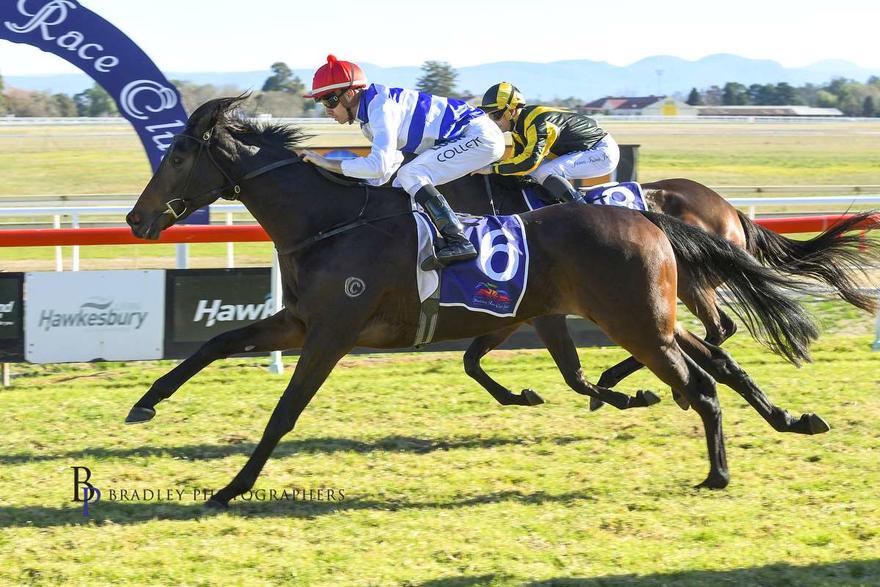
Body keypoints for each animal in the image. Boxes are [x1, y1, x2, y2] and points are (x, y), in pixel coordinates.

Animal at [124, 96, 833, 508]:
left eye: (179, 152)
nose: (136, 218)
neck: (332, 221)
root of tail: (653, 220)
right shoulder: (301, 321)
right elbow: (216, 342)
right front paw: (145, 404)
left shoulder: (333, 331)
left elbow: (284, 413)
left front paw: (232, 486)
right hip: (645, 317)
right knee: (717, 362)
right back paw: (785, 419)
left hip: (642, 322)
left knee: (707, 375)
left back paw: (716, 471)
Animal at [437, 173, 879, 409]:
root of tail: (730, 209)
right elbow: (473, 360)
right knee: (709, 331)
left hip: (690, 283)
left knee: (714, 329)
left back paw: (627, 379)